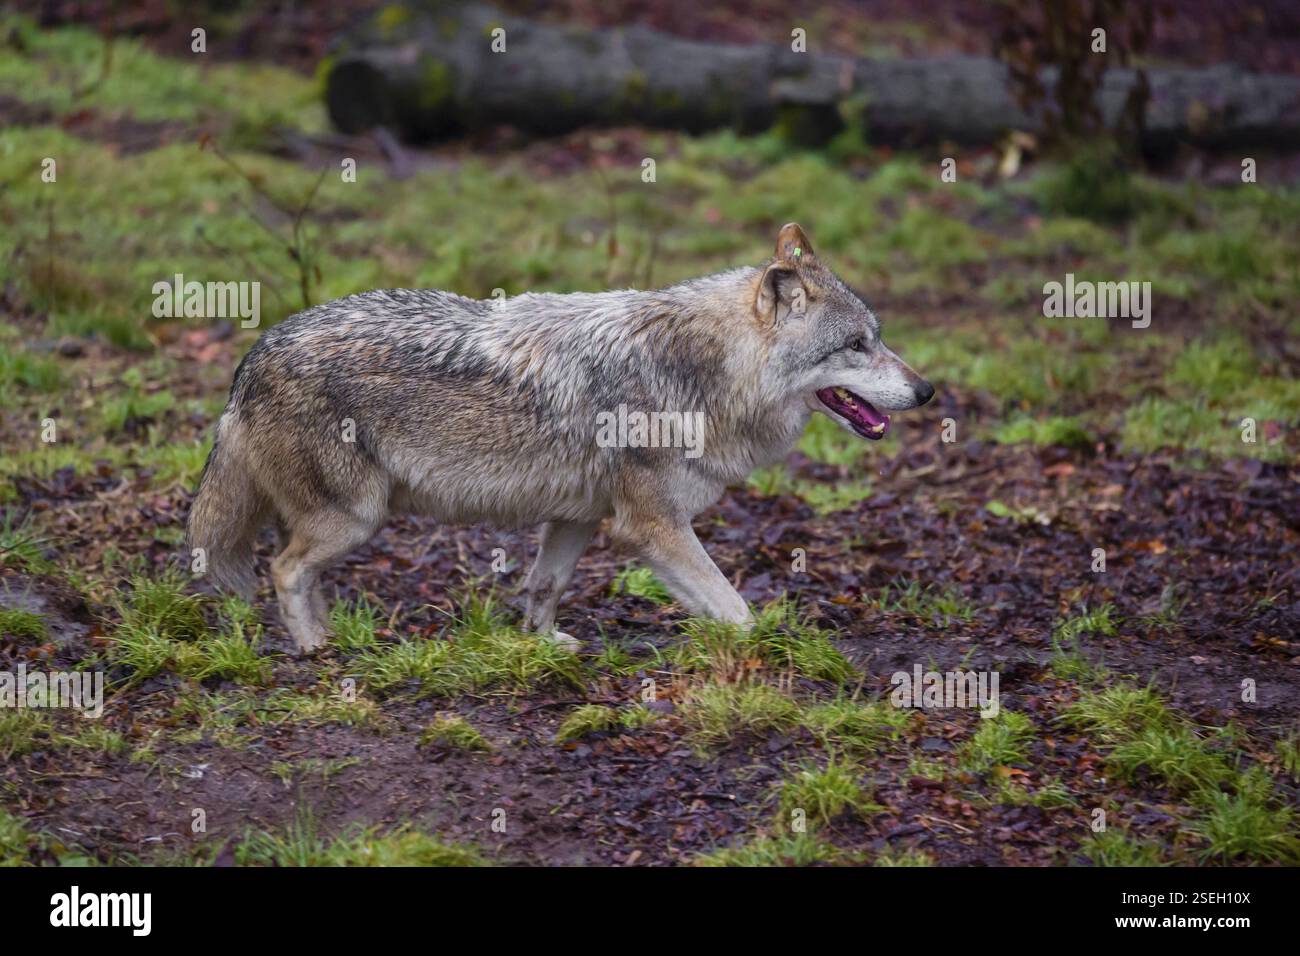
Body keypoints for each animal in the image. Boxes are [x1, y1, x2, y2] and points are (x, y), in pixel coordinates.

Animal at [186, 224, 933, 654]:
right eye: (856, 345)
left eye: (879, 337)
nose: (927, 391)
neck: (703, 373)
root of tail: (251, 357)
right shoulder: (652, 528)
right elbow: (737, 611)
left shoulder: (579, 519)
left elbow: (542, 589)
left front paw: (541, 649)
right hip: (355, 518)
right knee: (282, 568)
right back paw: (317, 650)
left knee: (295, 571)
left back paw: (327, 636)